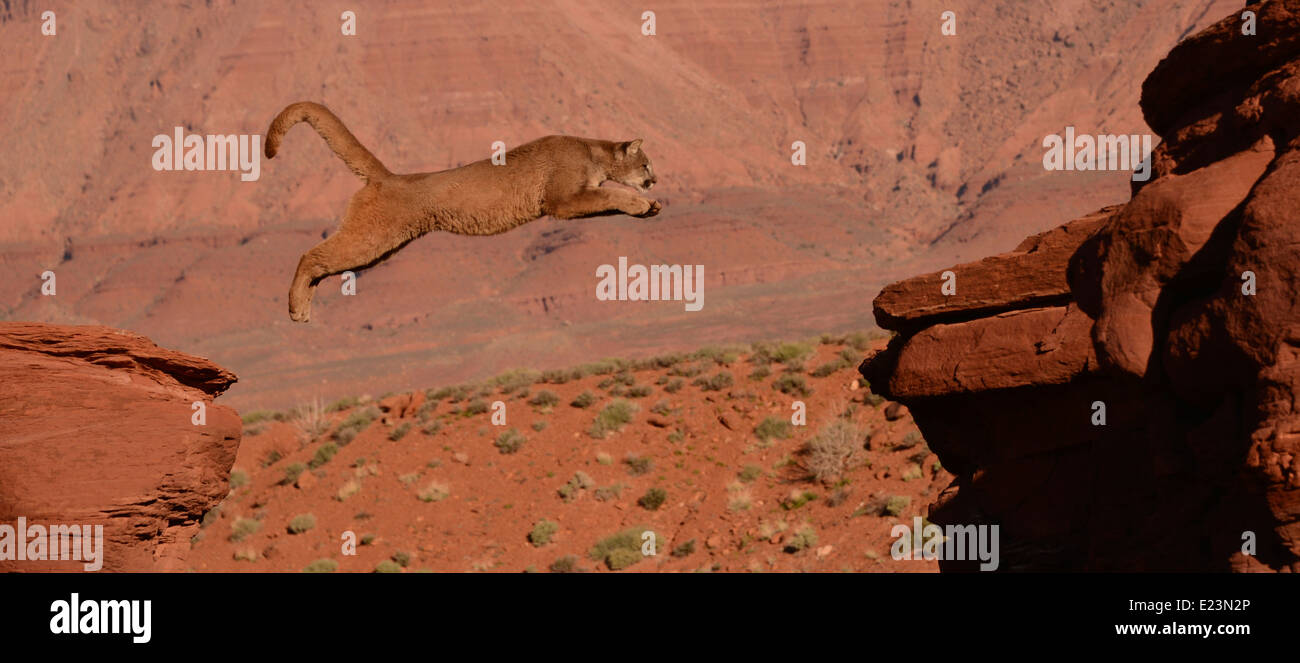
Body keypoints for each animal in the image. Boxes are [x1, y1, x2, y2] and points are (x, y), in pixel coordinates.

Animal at [263, 101, 661, 322]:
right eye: (645, 164)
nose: (655, 180)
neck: (593, 152)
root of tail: (388, 177)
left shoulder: (573, 200)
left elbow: (607, 199)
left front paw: (649, 207)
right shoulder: (563, 199)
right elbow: (611, 194)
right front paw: (644, 203)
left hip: (380, 247)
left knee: (324, 264)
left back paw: (303, 309)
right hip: (371, 237)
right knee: (310, 256)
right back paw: (296, 308)